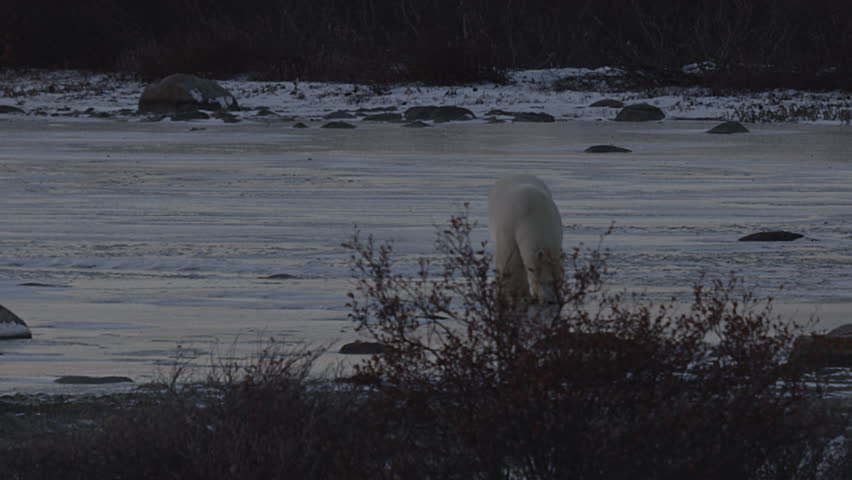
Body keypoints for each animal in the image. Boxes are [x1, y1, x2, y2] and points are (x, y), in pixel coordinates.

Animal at [488, 174, 563, 304]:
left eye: (551, 282)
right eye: (542, 281)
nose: (549, 300)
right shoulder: (510, 227)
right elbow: (511, 263)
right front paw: (520, 295)